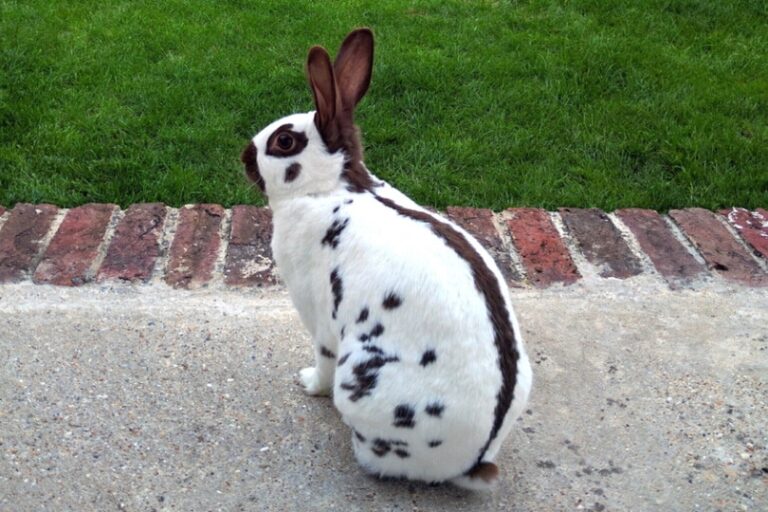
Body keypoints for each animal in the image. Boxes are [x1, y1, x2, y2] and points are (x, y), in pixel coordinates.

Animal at [241, 28, 531, 490]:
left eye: (284, 141)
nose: (243, 157)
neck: (330, 189)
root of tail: (473, 461)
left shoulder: (320, 320)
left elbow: (321, 361)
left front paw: (307, 383)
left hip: (360, 381)